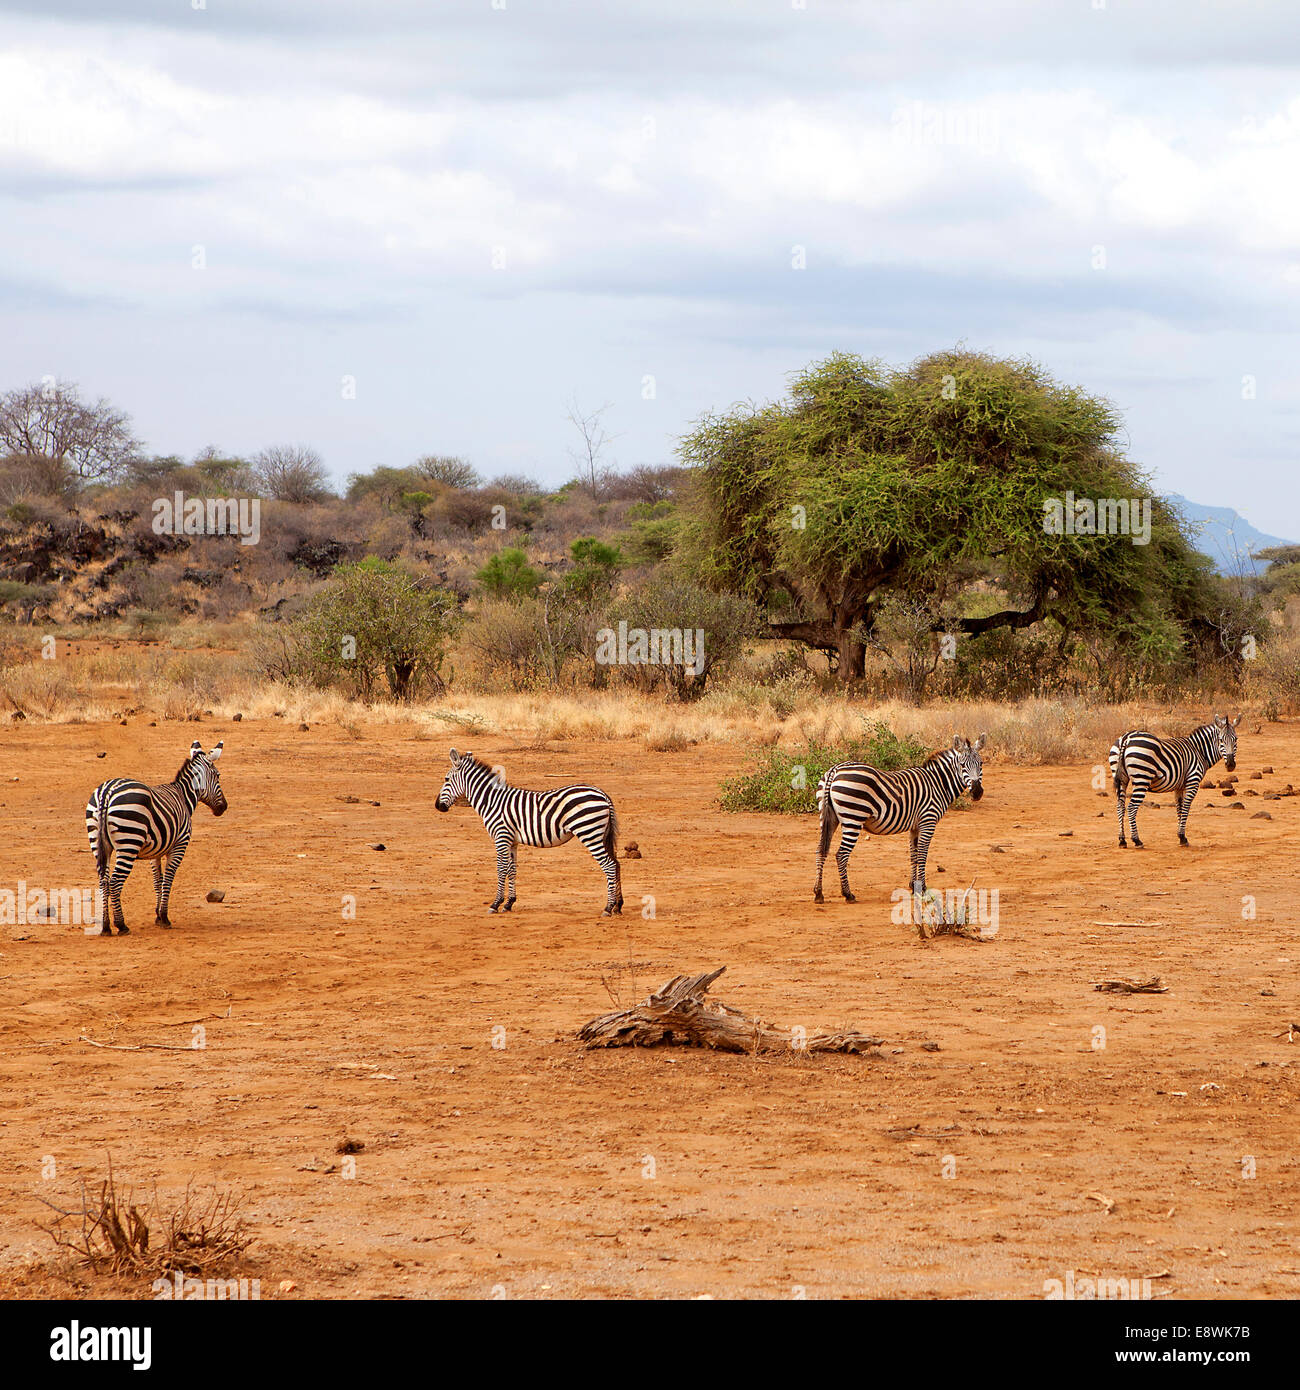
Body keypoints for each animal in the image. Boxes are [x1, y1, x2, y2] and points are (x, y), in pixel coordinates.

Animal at [85, 741, 227, 936]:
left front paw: (158, 916)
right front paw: (164, 917)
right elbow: (168, 879)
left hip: (98, 842)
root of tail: (106, 792)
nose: (224, 807)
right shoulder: (179, 845)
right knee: (114, 882)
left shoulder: (156, 851)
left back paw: (106, 927)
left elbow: (157, 880)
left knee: (103, 881)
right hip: (129, 842)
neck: (183, 797)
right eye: (218, 776)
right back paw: (121, 925)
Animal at [435, 748, 623, 916]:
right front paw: (509, 903)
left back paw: (608, 908)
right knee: (616, 863)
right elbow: (512, 869)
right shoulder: (512, 841)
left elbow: (501, 868)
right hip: (600, 834)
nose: (438, 806)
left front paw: (495, 904)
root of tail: (602, 794)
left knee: (609, 865)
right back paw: (618, 905)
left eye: (446, 779)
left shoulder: (501, 837)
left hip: (589, 833)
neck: (493, 801)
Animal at [815, 735, 985, 905]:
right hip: (854, 818)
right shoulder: (928, 821)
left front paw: (913, 886)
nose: (977, 792)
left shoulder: (915, 826)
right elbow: (922, 854)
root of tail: (835, 770)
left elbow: (914, 855)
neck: (938, 784)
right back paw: (848, 894)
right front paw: (923, 888)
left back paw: (818, 893)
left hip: (828, 816)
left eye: (981, 763)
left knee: (821, 850)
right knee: (841, 855)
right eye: (962, 765)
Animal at [1109, 714, 1240, 848]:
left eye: (1235, 739)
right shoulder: (1193, 781)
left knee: (1120, 807)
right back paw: (1137, 840)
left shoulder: (1179, 786)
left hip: (1121, 779)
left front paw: (1180, 836)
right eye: (1221, 740)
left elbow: (1179, 807)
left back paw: (1122, 840)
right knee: (1131, 808)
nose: (1230, 765)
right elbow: (1186, 807)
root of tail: (1126, 738)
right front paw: (1182, 837)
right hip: (1142, 778)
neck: (1199, 751)